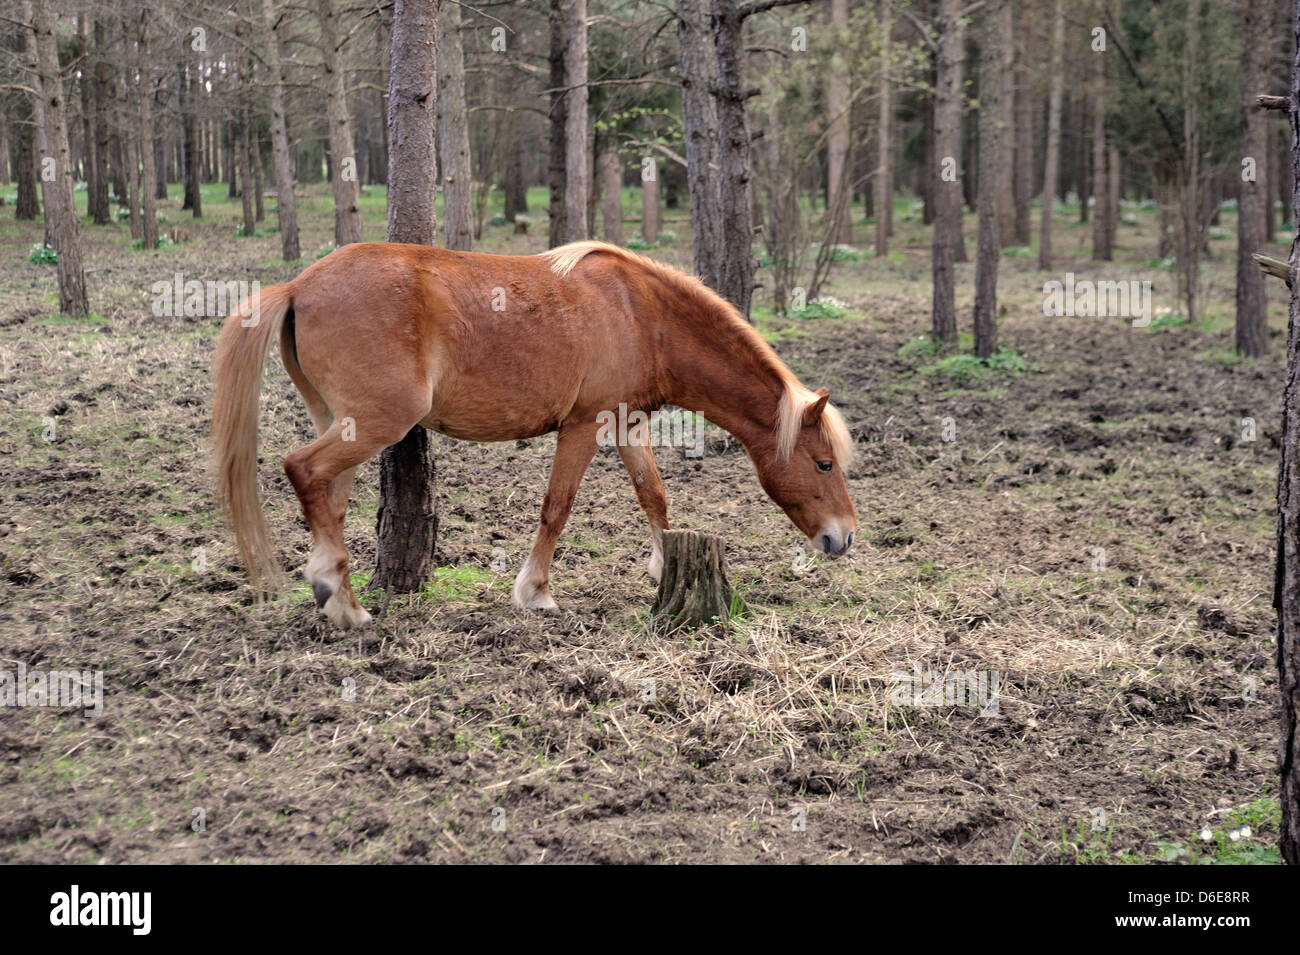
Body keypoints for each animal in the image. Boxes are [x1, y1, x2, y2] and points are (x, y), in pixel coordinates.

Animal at [212, 240, 856, 629]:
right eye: (824, 464)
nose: (844, 537)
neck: (640, 313)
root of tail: (299, 286)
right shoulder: (583, 427)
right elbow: (557, 508)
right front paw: (536, 591)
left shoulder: (626, 424)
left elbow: (654, 495)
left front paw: (657, 565)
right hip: (372, 424)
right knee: (302, 470)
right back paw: (345, 605)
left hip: (342, 422)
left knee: (331, 498)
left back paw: (333, 591)